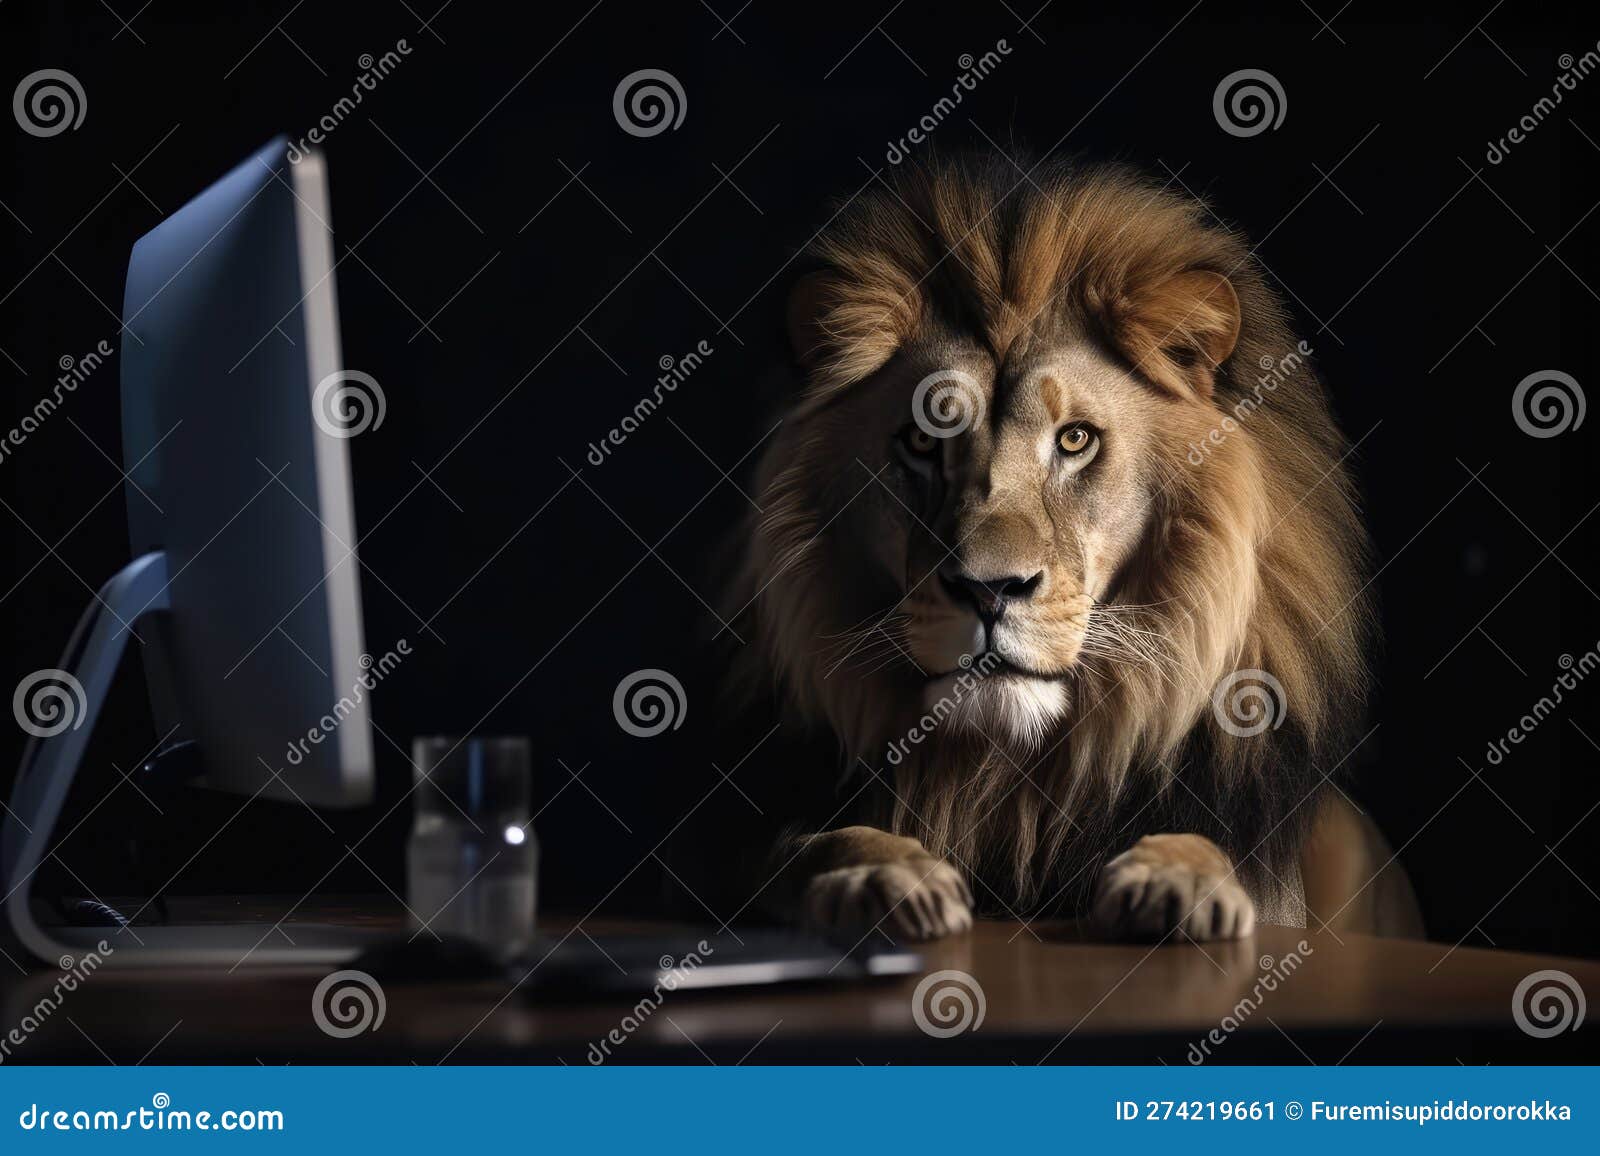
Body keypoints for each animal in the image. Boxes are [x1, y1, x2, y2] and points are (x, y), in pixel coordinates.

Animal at [716, 153, 1422, 943]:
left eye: (1075, 439)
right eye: (923, 441)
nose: (989, 590)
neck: (1004, 782)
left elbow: (1212, 849)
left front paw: (1178, 879)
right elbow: (803, 844)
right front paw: (884, 875)